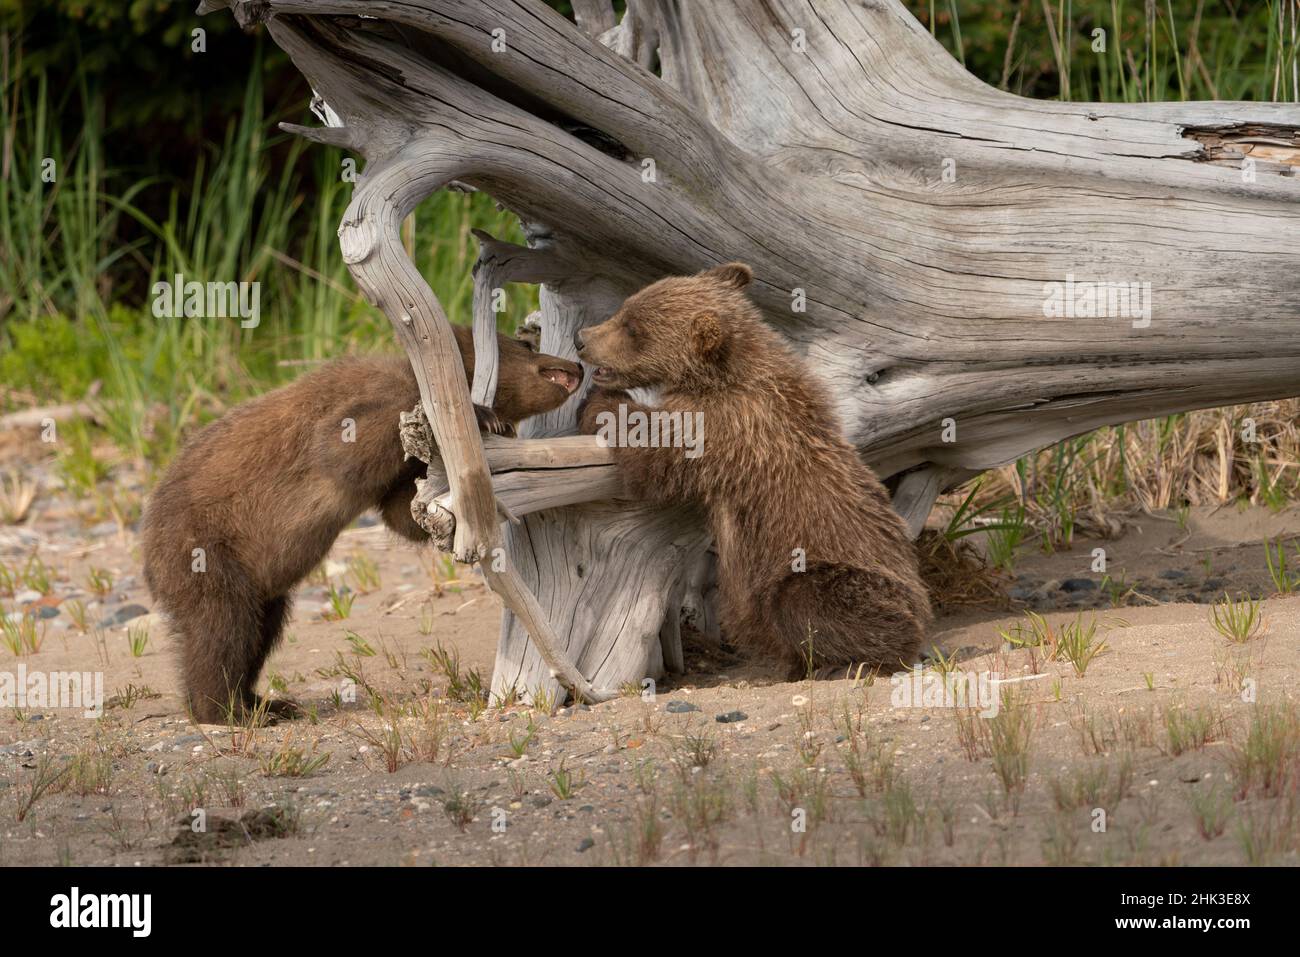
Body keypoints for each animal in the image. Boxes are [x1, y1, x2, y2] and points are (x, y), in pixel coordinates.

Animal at [142, 325, 581, 724]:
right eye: (527, 343)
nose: (576, 363)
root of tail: (147, 553)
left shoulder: (405, 468)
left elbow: (403, 510)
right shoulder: (360, 400)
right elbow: (345, 445)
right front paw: (485, 415)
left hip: (258, 578)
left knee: (262, 628)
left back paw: (266, 702)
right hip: (204, 548)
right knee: (221, 627)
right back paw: (226, 710)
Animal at [576, 263, 930, 679]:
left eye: (632, 327)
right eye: (625, 308)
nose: (581, 339)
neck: (720, 375)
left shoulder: (725, 425)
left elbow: (650, 453)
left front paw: (597, 403)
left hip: (854, 577)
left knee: (804, 598)